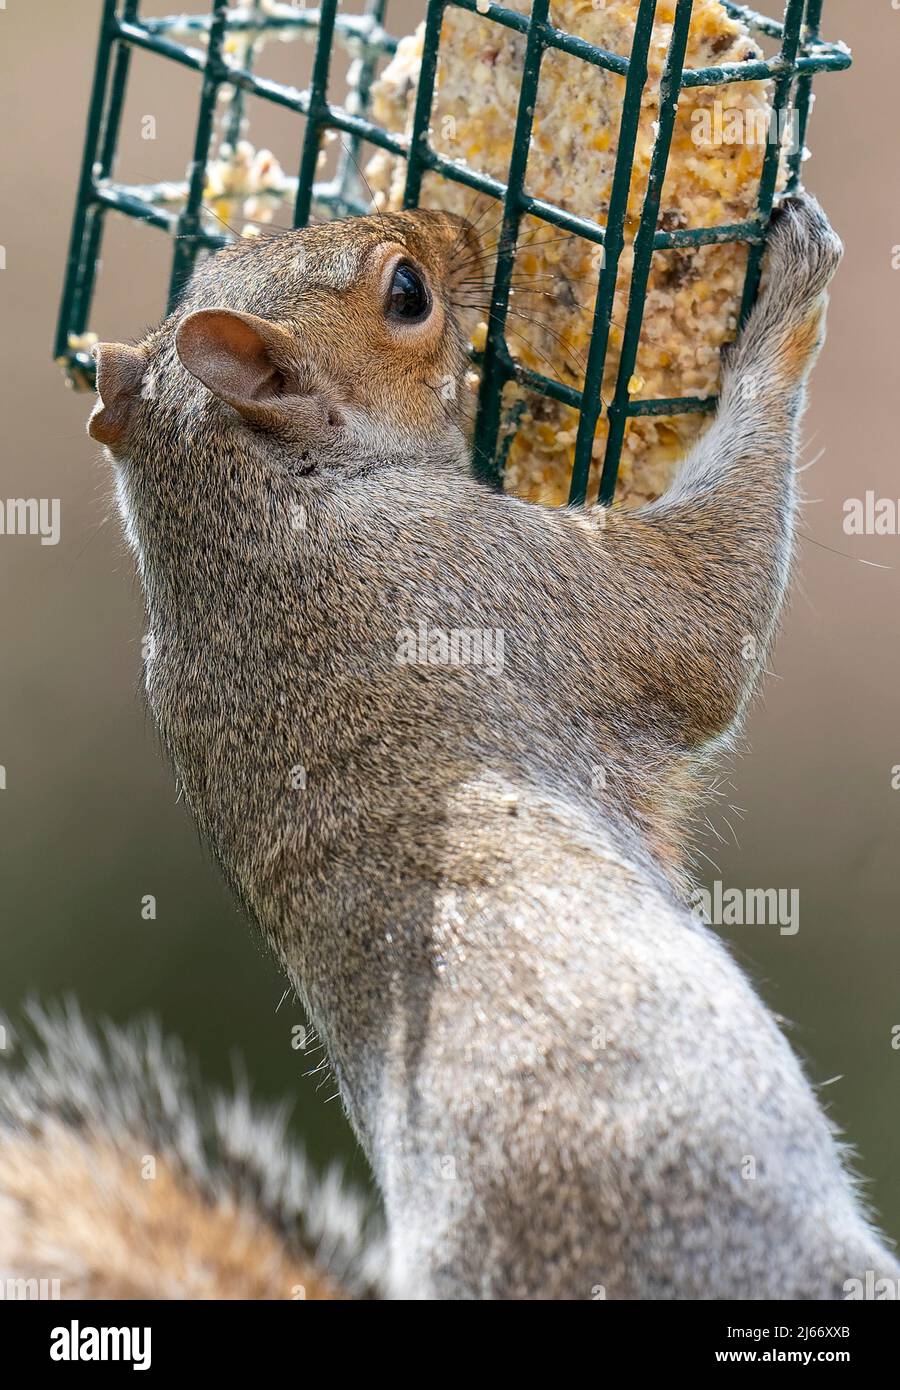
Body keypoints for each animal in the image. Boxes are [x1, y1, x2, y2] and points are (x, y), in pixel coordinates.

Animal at [2, 193, 897, 1299]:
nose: (462, 228)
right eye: (406, 293)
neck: (246, 518)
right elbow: (704, 613)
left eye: (223, 256)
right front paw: (785, 305)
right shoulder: (496, 581)